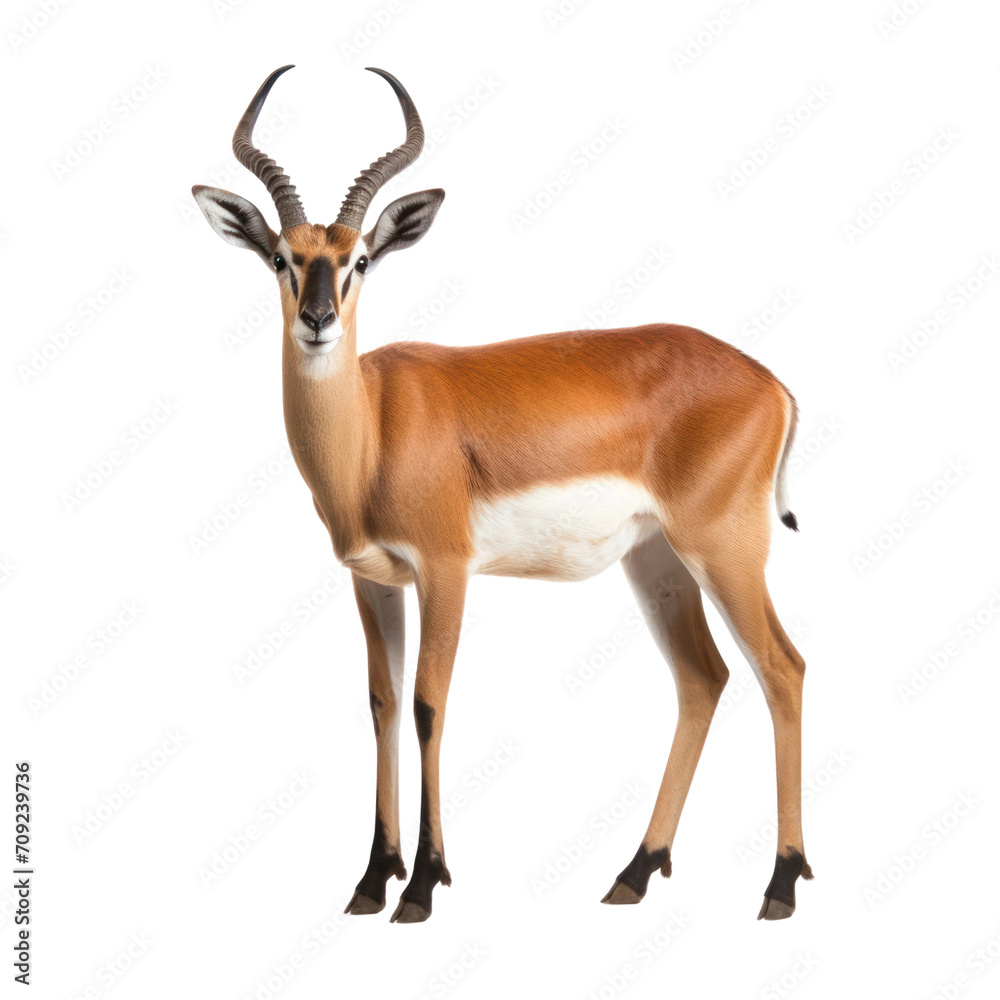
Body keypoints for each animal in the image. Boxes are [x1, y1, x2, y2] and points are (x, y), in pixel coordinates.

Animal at [192, 65, 812, 923]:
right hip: (656, 560)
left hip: (723, 549)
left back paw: (780, 884)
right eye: (283, 257)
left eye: (359, 260)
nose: (317, 321)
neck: (374, 424)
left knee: (782, 669)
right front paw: (371, 880)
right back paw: (633, 873)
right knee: (703, 678)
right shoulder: (372, 579)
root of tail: (771, 381)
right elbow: (383, 704)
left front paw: (423, 885)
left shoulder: (446, 571)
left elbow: (429, 704)